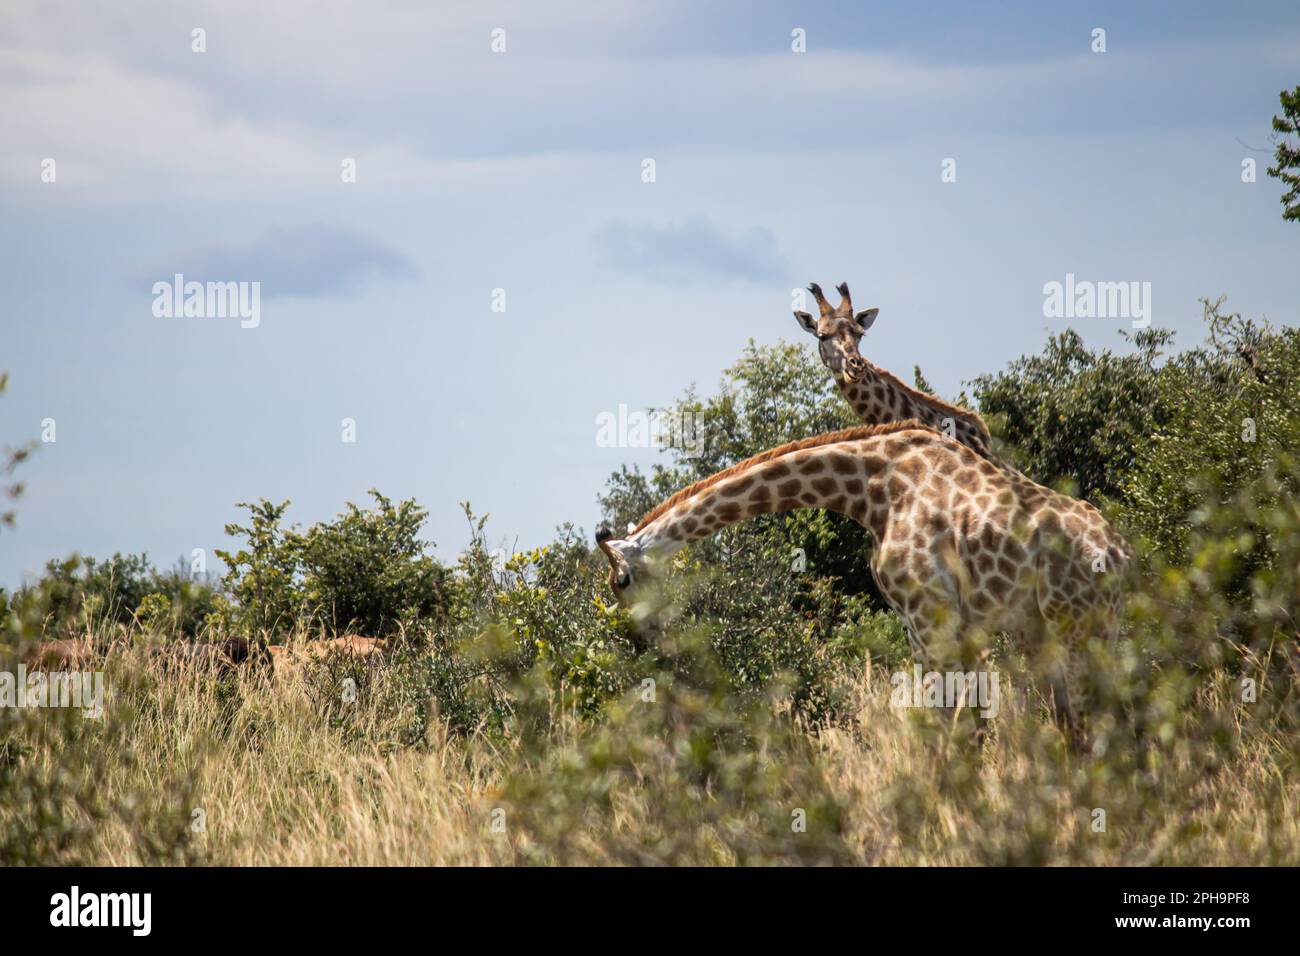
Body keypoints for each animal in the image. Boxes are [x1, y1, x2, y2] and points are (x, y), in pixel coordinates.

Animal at [596, 421, 1129, 744]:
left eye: (621, 581)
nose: (647, 642)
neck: (871, 490)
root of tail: (1121, 552)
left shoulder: (932, 617)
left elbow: (951, 724)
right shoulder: (929, 627)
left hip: (1077, 625)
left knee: (1095, 722)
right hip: (1063, 629)